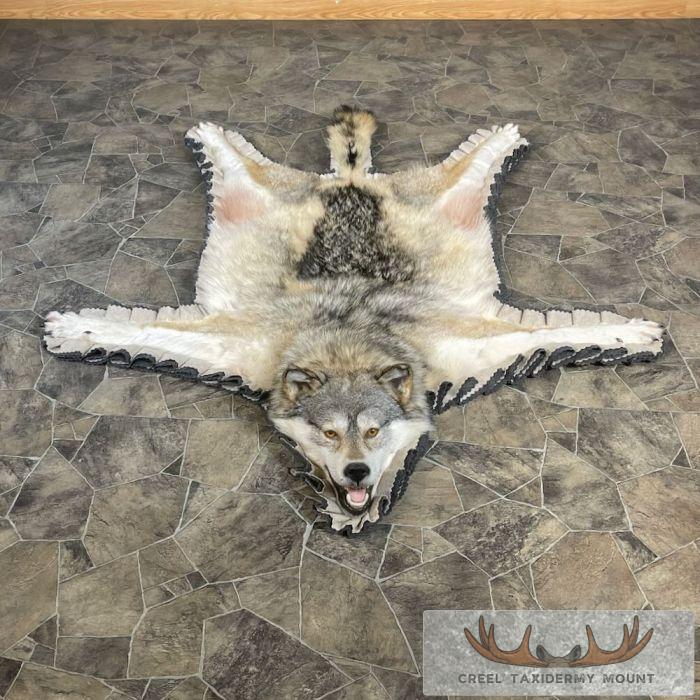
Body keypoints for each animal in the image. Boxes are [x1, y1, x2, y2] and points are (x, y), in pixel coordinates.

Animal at [44, 107, 664, 532]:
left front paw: (635, 331)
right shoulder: (240, 344)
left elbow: (571, 329)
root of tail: (352, 180)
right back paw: (212, 135)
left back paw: (503, 137)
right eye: (327, 433)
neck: (350, 342)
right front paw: (72, 329)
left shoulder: (469, 343)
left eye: (372, 432)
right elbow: (132, 330)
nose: (357, 475)